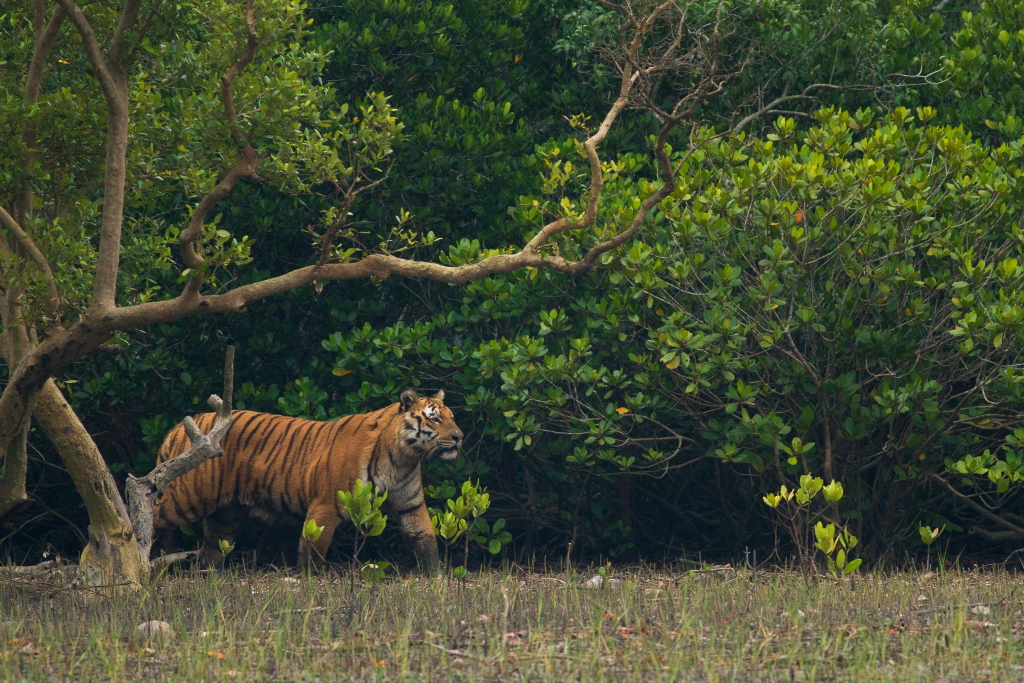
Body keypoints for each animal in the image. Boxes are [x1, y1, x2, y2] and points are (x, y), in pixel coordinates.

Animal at [152, 389, 462, 574]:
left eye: (451, 417)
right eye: (434, 420)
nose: (459, 436)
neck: (403, 458)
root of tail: (178, 426)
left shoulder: (411, 505)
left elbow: (425, 539)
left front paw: (435, 576)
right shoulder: (325, 505)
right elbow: (313, 548)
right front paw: (310, 581)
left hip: (224, 516)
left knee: (211, 550)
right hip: (187, 497)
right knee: (148, 512)